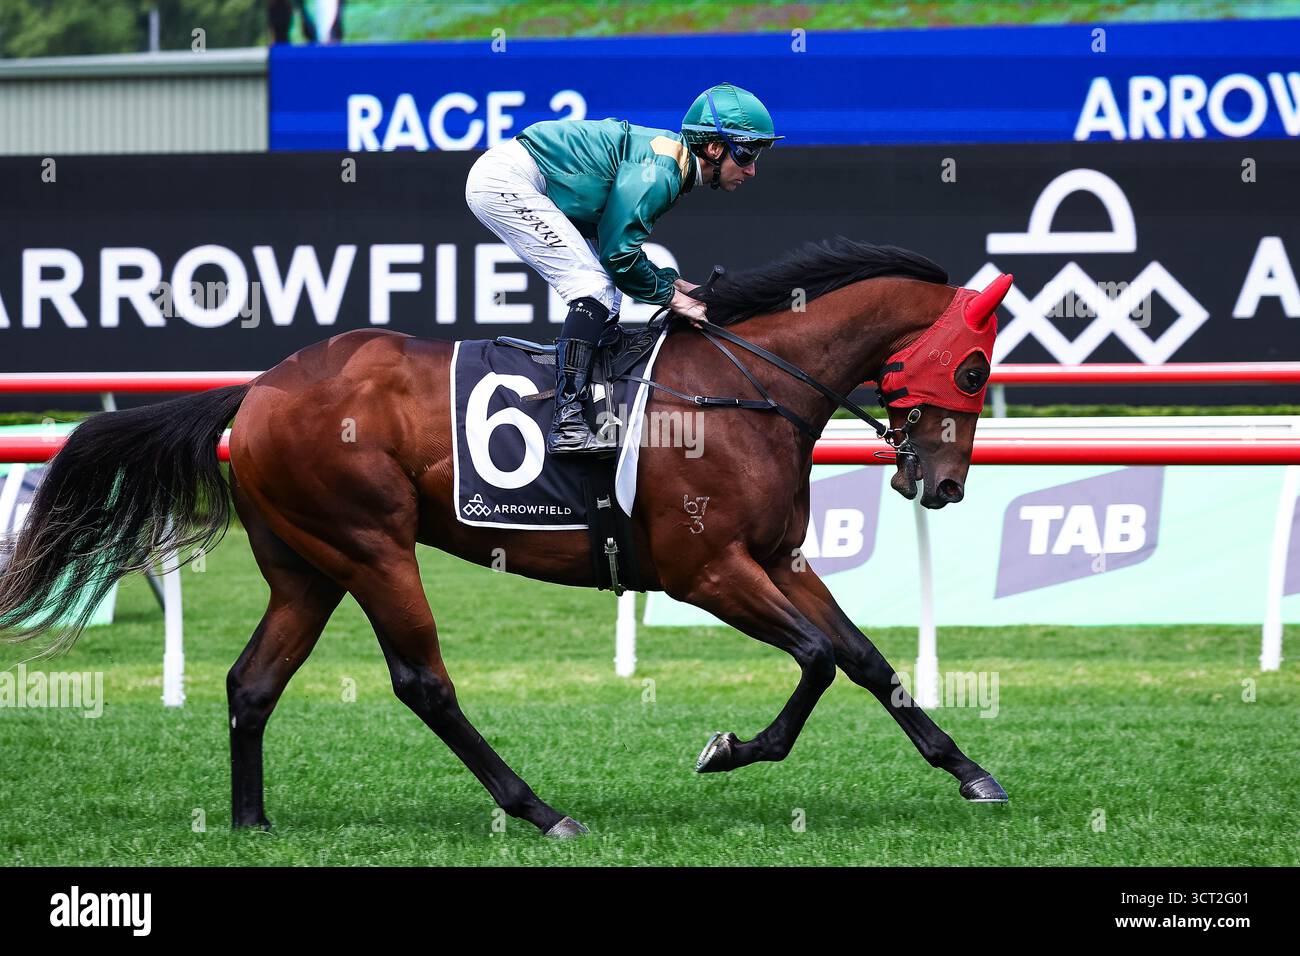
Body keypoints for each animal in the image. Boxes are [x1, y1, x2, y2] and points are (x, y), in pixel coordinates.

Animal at [0, 237, 1010, 839]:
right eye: (972, 367)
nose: (943, 485)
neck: (741, 387)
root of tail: (257, 391)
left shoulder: (775, 561)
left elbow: (866, 660)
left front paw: (970, 773)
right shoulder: (707, 570)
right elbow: (815, 659)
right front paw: (729, 748)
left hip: (306, 565)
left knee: (253, 682)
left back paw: (251, 823)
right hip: (371, 545)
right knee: (422, 682)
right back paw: (538, 809)